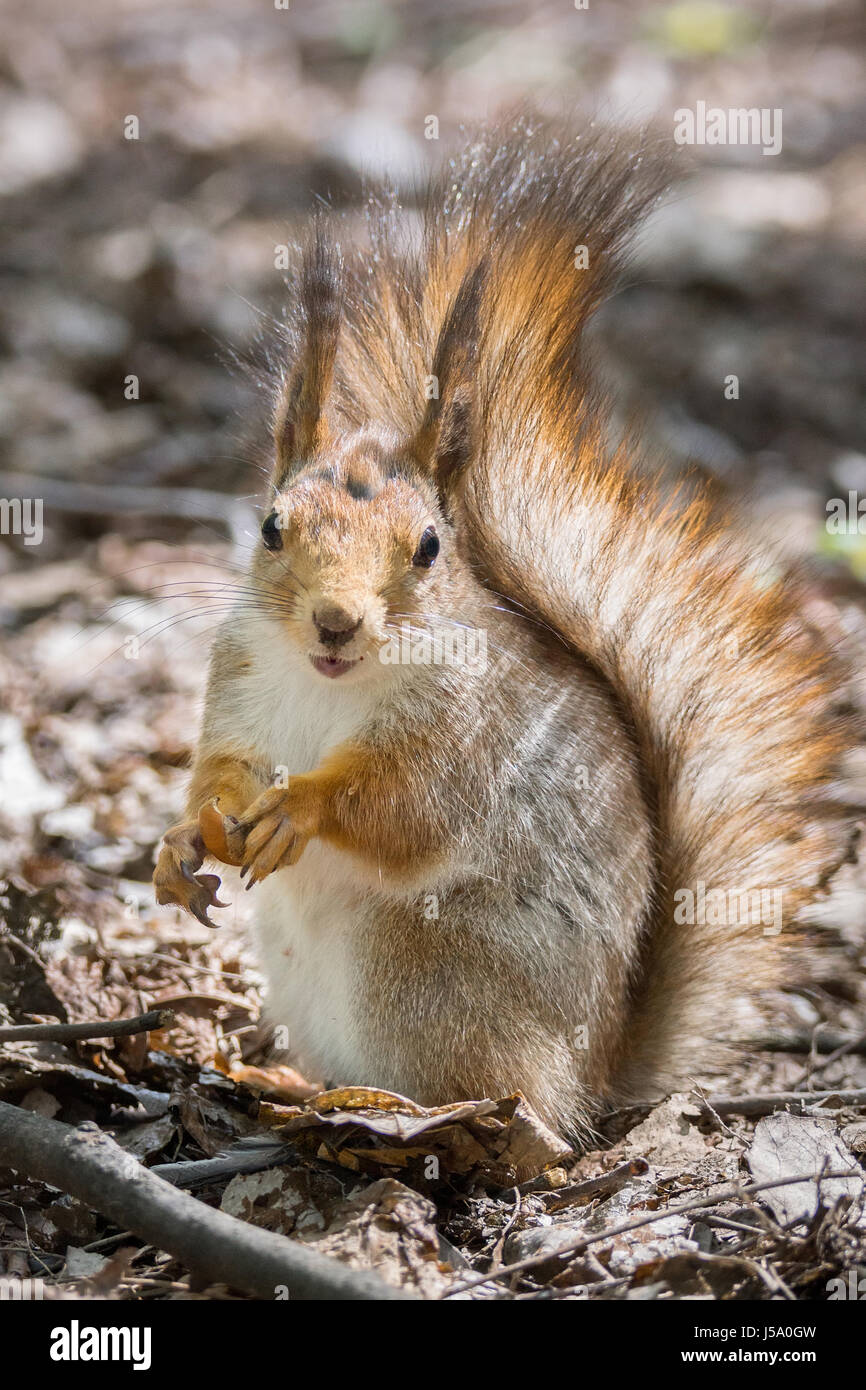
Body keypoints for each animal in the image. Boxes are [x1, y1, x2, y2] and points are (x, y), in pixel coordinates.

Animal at [153, 117, 856, 1143]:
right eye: (272, 527)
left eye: (429, 546)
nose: (335, 621)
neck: (327, 687)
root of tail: (595, 1076)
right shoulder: (240, 683)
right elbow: (218, 769)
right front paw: (183, 840)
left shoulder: (464, 732)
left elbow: (405, 808)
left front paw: (302, 808)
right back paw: (282, 1080)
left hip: (425, 971)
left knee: (507, 1108)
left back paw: (393, 1109)